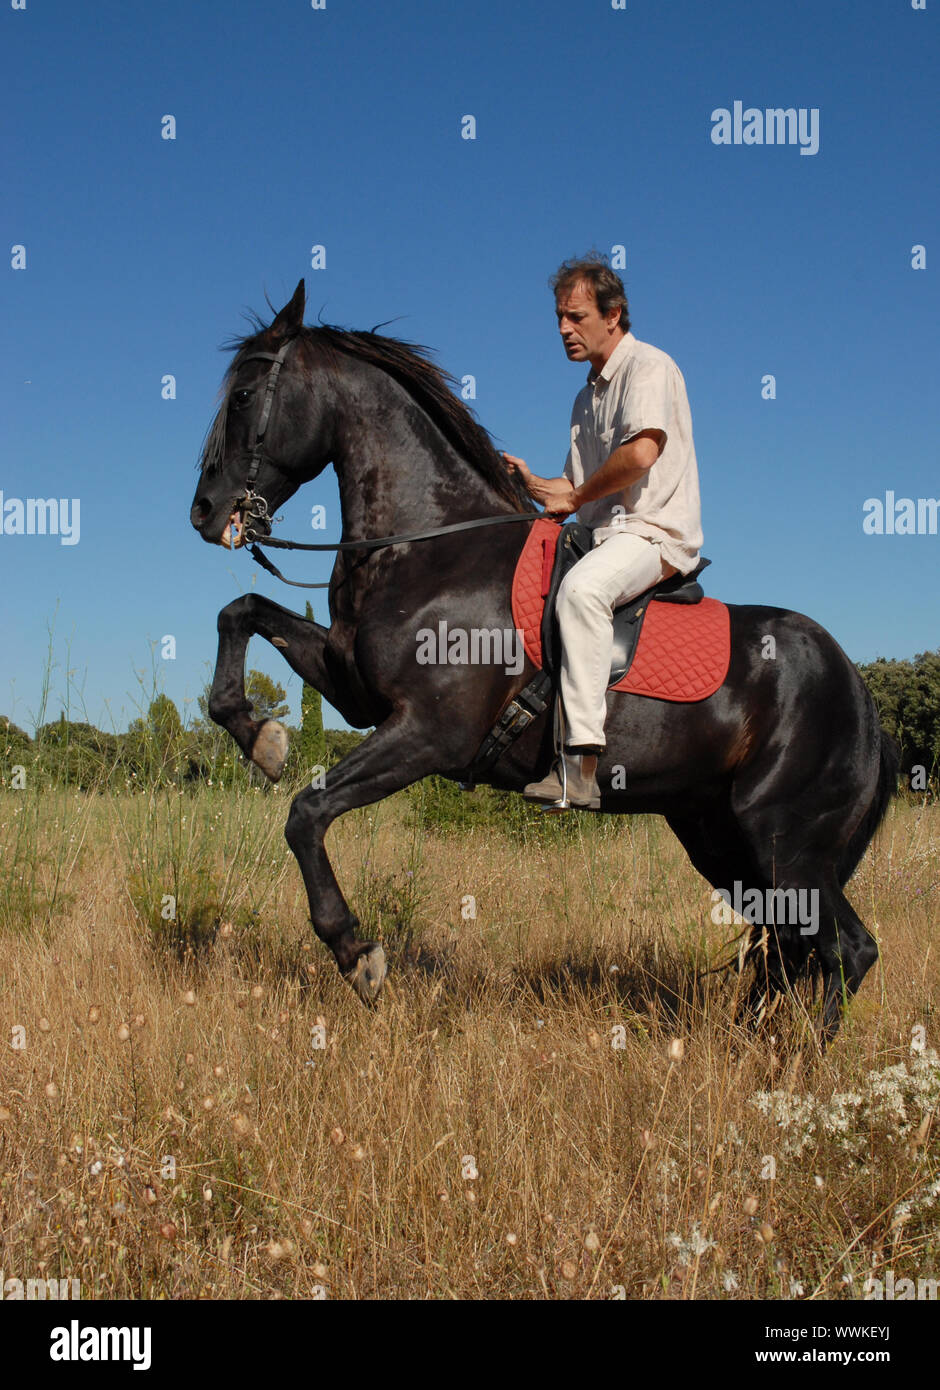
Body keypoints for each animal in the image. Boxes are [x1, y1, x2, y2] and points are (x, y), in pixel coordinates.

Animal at [190, 279, 898, 1042]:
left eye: (244, 394)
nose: (203, 511)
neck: (430, 545)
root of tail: (859, 692)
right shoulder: (354, 691)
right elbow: (241, 613)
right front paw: (259, 737)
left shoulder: (427, 734)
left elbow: (306, 812)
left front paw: (357, 954)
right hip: (718, 836)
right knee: (789, 949)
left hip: (786, 842)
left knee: (847, 949)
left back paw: (796, 1058)